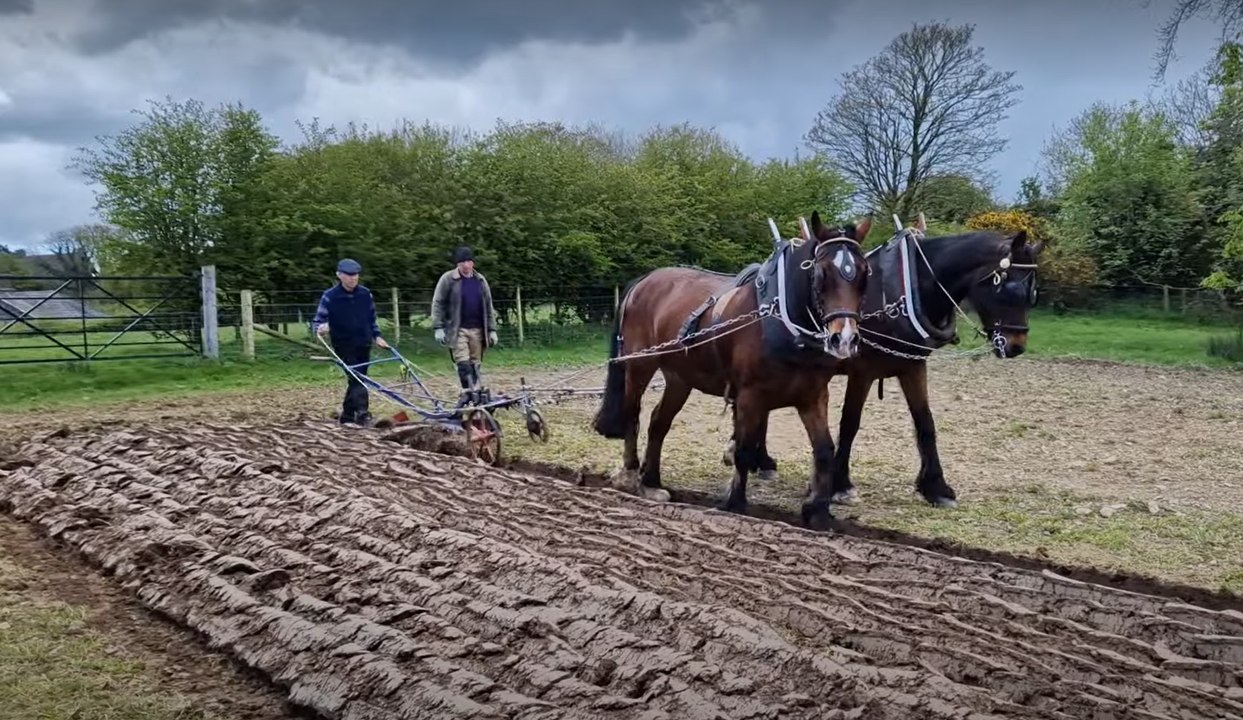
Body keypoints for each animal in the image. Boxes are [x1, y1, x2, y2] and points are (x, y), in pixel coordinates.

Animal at [591, 211, 873, 526]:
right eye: (822, 273)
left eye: (865, 274)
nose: (844, 338)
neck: (782, 320)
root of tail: (644, 280)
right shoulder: (751, 395)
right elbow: (744, 450)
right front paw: (735, 504)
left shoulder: (813, 396)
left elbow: (824, 450)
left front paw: (819, 512)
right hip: (640, 366)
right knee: (632, 414)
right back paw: (629, 474)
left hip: (679, 377)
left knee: (658, 422)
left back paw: (651, 482)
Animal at [724, 213, 1044, 514]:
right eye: (1009, 288)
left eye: (1033, 293)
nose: (1016, 346)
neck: (905, 287)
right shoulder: (862, 371)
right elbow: (850, 423)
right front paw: (840, 484)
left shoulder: (913, 366)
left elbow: (925, 423)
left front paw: (936, 487)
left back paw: (760, 460)